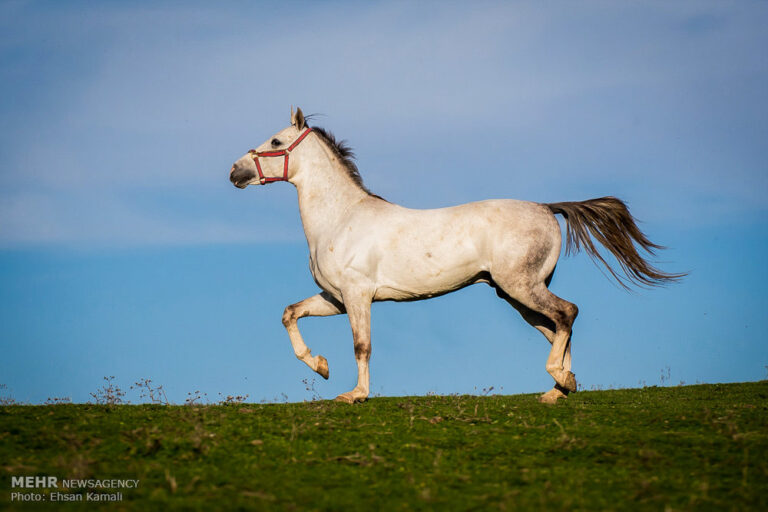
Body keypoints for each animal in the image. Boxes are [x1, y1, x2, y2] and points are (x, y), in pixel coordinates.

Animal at [229, 107, 683, 404]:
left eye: (275, 141)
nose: (235, 172)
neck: (340, 217)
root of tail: (546, 207)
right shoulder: (336, 298)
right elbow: (290, 313)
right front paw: (321, 366)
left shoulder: (358, 296)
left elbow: (362, 345)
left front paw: (354, 394)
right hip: (515, 293)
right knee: (555, 326)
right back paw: (559, 390)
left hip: (520, 286)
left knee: (566, 313)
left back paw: (560, 381)